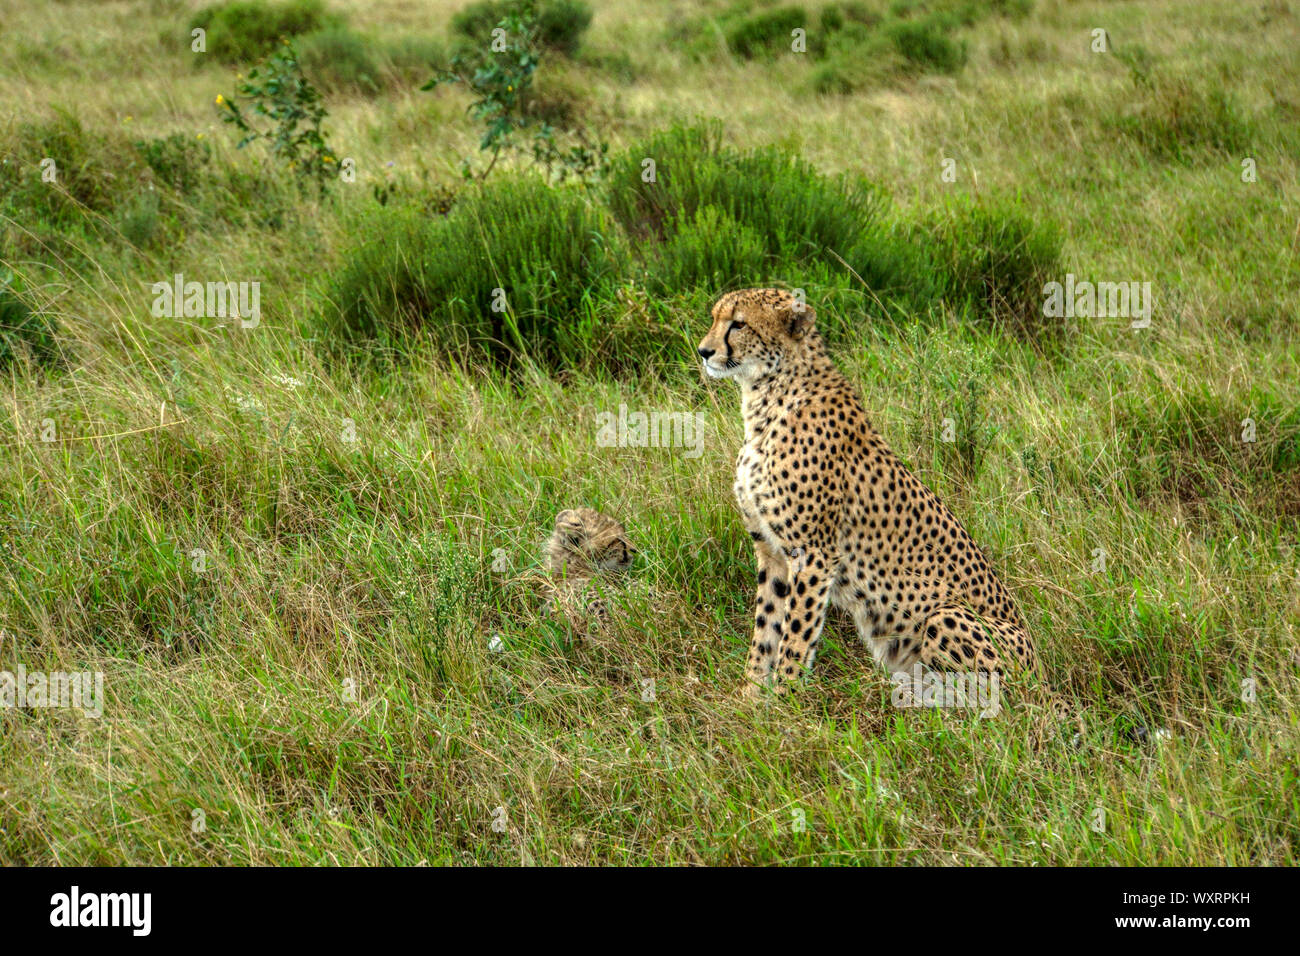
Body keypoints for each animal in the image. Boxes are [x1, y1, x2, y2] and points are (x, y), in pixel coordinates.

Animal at [698, 288, 1065, 717]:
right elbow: (766, 629)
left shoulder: (814, 553)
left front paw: (786, 702)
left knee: (992, 707)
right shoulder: (771, 553)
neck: (767, 396)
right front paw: (751, 698)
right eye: (715, 318)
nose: (704, 351)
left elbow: (796, 636)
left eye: (738, 323)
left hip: (946, 617)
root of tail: (1044, 680)